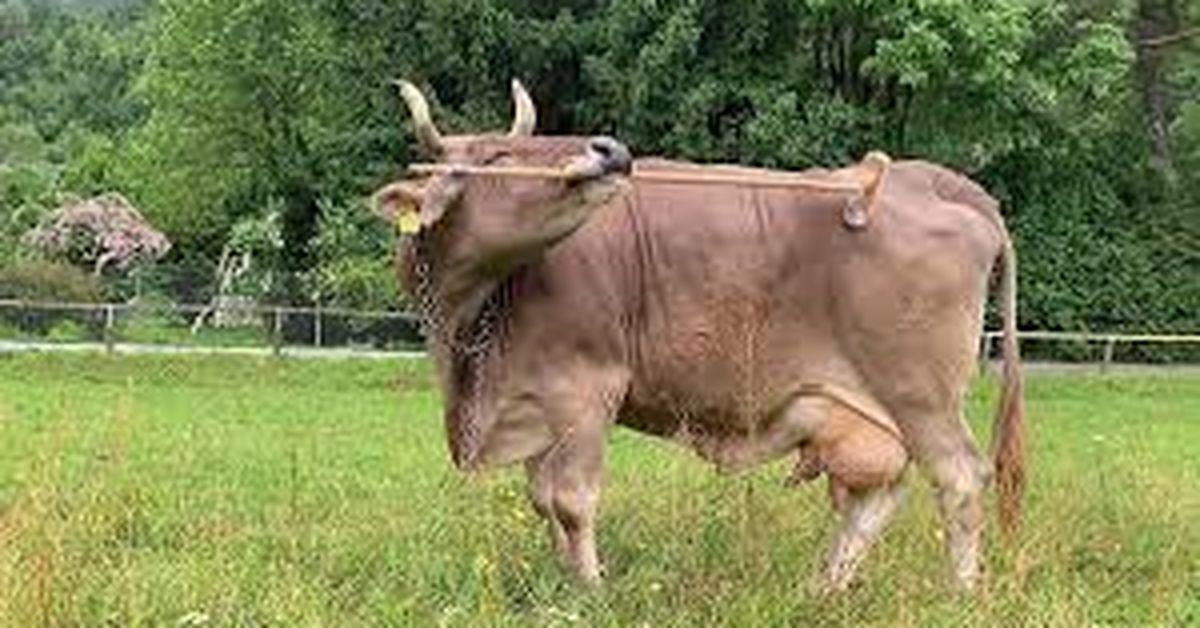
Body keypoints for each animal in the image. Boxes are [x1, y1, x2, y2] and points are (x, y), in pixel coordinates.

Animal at [376, 79, 1025, 593]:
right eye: (497, 156)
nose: (609, 149)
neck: (470, 332)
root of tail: (940, 182)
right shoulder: (535, 399)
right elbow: (540, 500)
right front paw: (562, 580)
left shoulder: (586, 391)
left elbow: (571, 502)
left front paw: (590, 589)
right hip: (873, 410)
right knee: (882, 492)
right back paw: (823, 586)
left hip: (921, 396)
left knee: (961, 479)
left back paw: (960, 592)